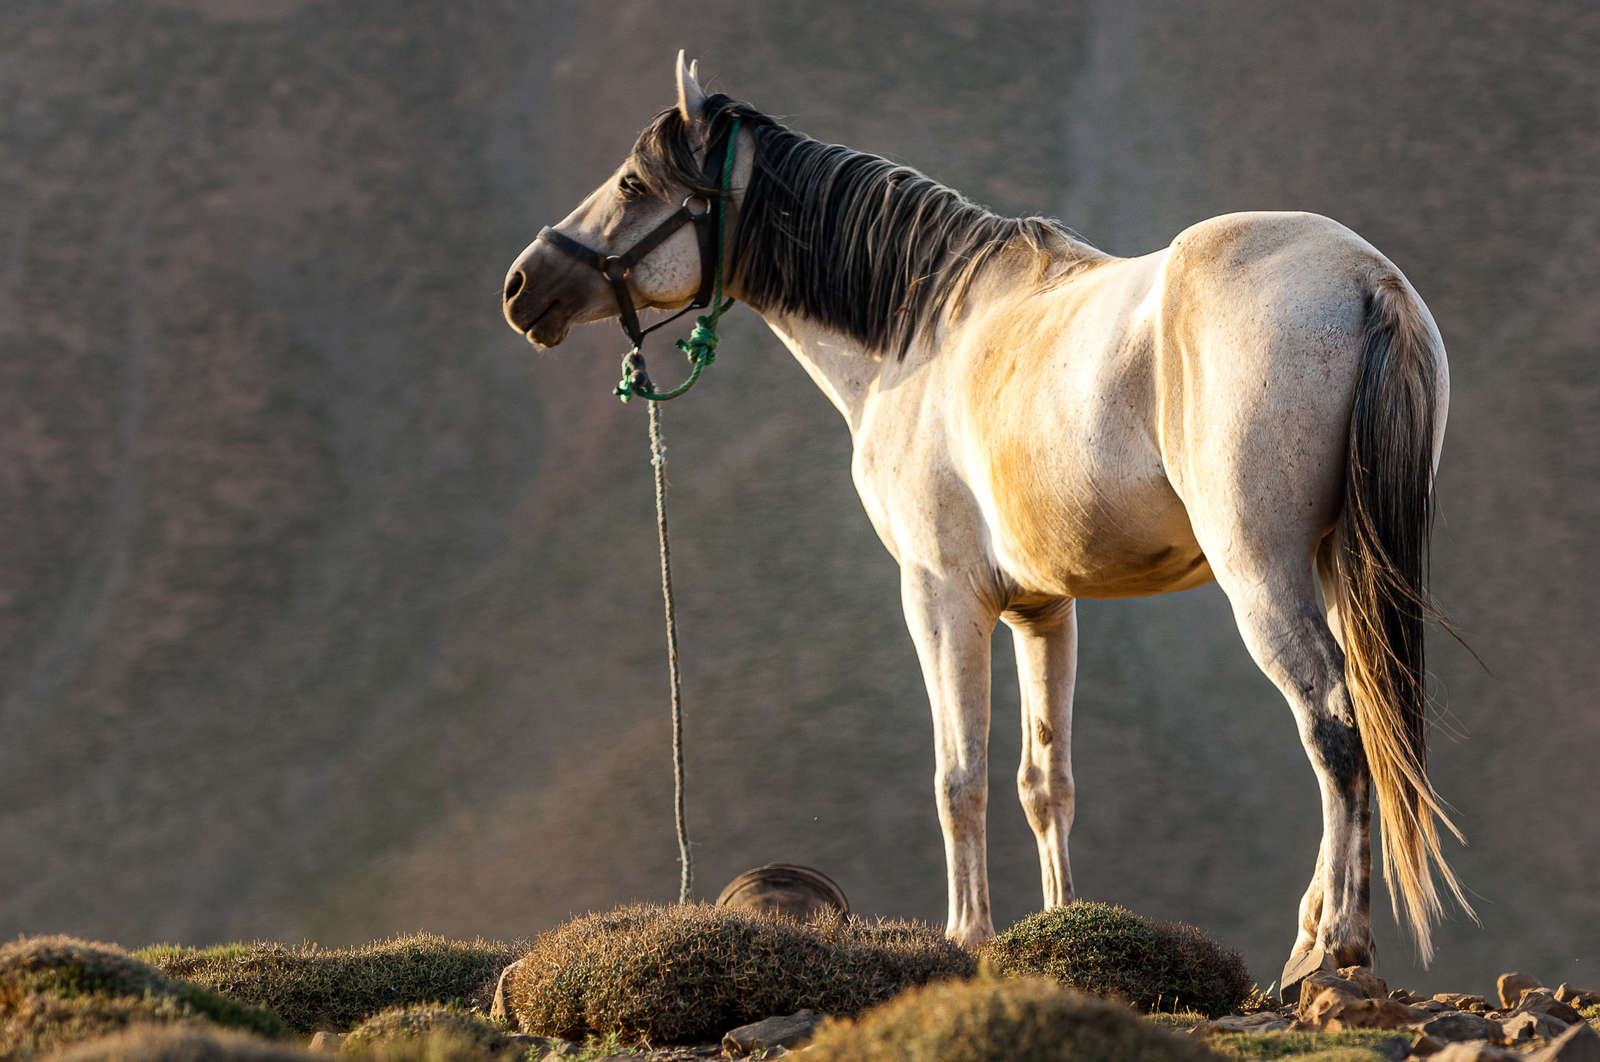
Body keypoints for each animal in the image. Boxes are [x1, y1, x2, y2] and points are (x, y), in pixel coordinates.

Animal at [501, 53, 1471, 992]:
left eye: (633, 183)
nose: (523, 286)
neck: (923, 337)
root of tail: (1367, 281)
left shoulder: (940, 597)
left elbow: (958, 776)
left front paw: (968, 935)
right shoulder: (1043, 610)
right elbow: (1046, 782)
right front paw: (1062, 929)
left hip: (1261, 573)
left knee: (1333, 726)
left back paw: (1335, 942)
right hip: (1338, 568)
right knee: (1365, 722)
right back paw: (1314, 933)